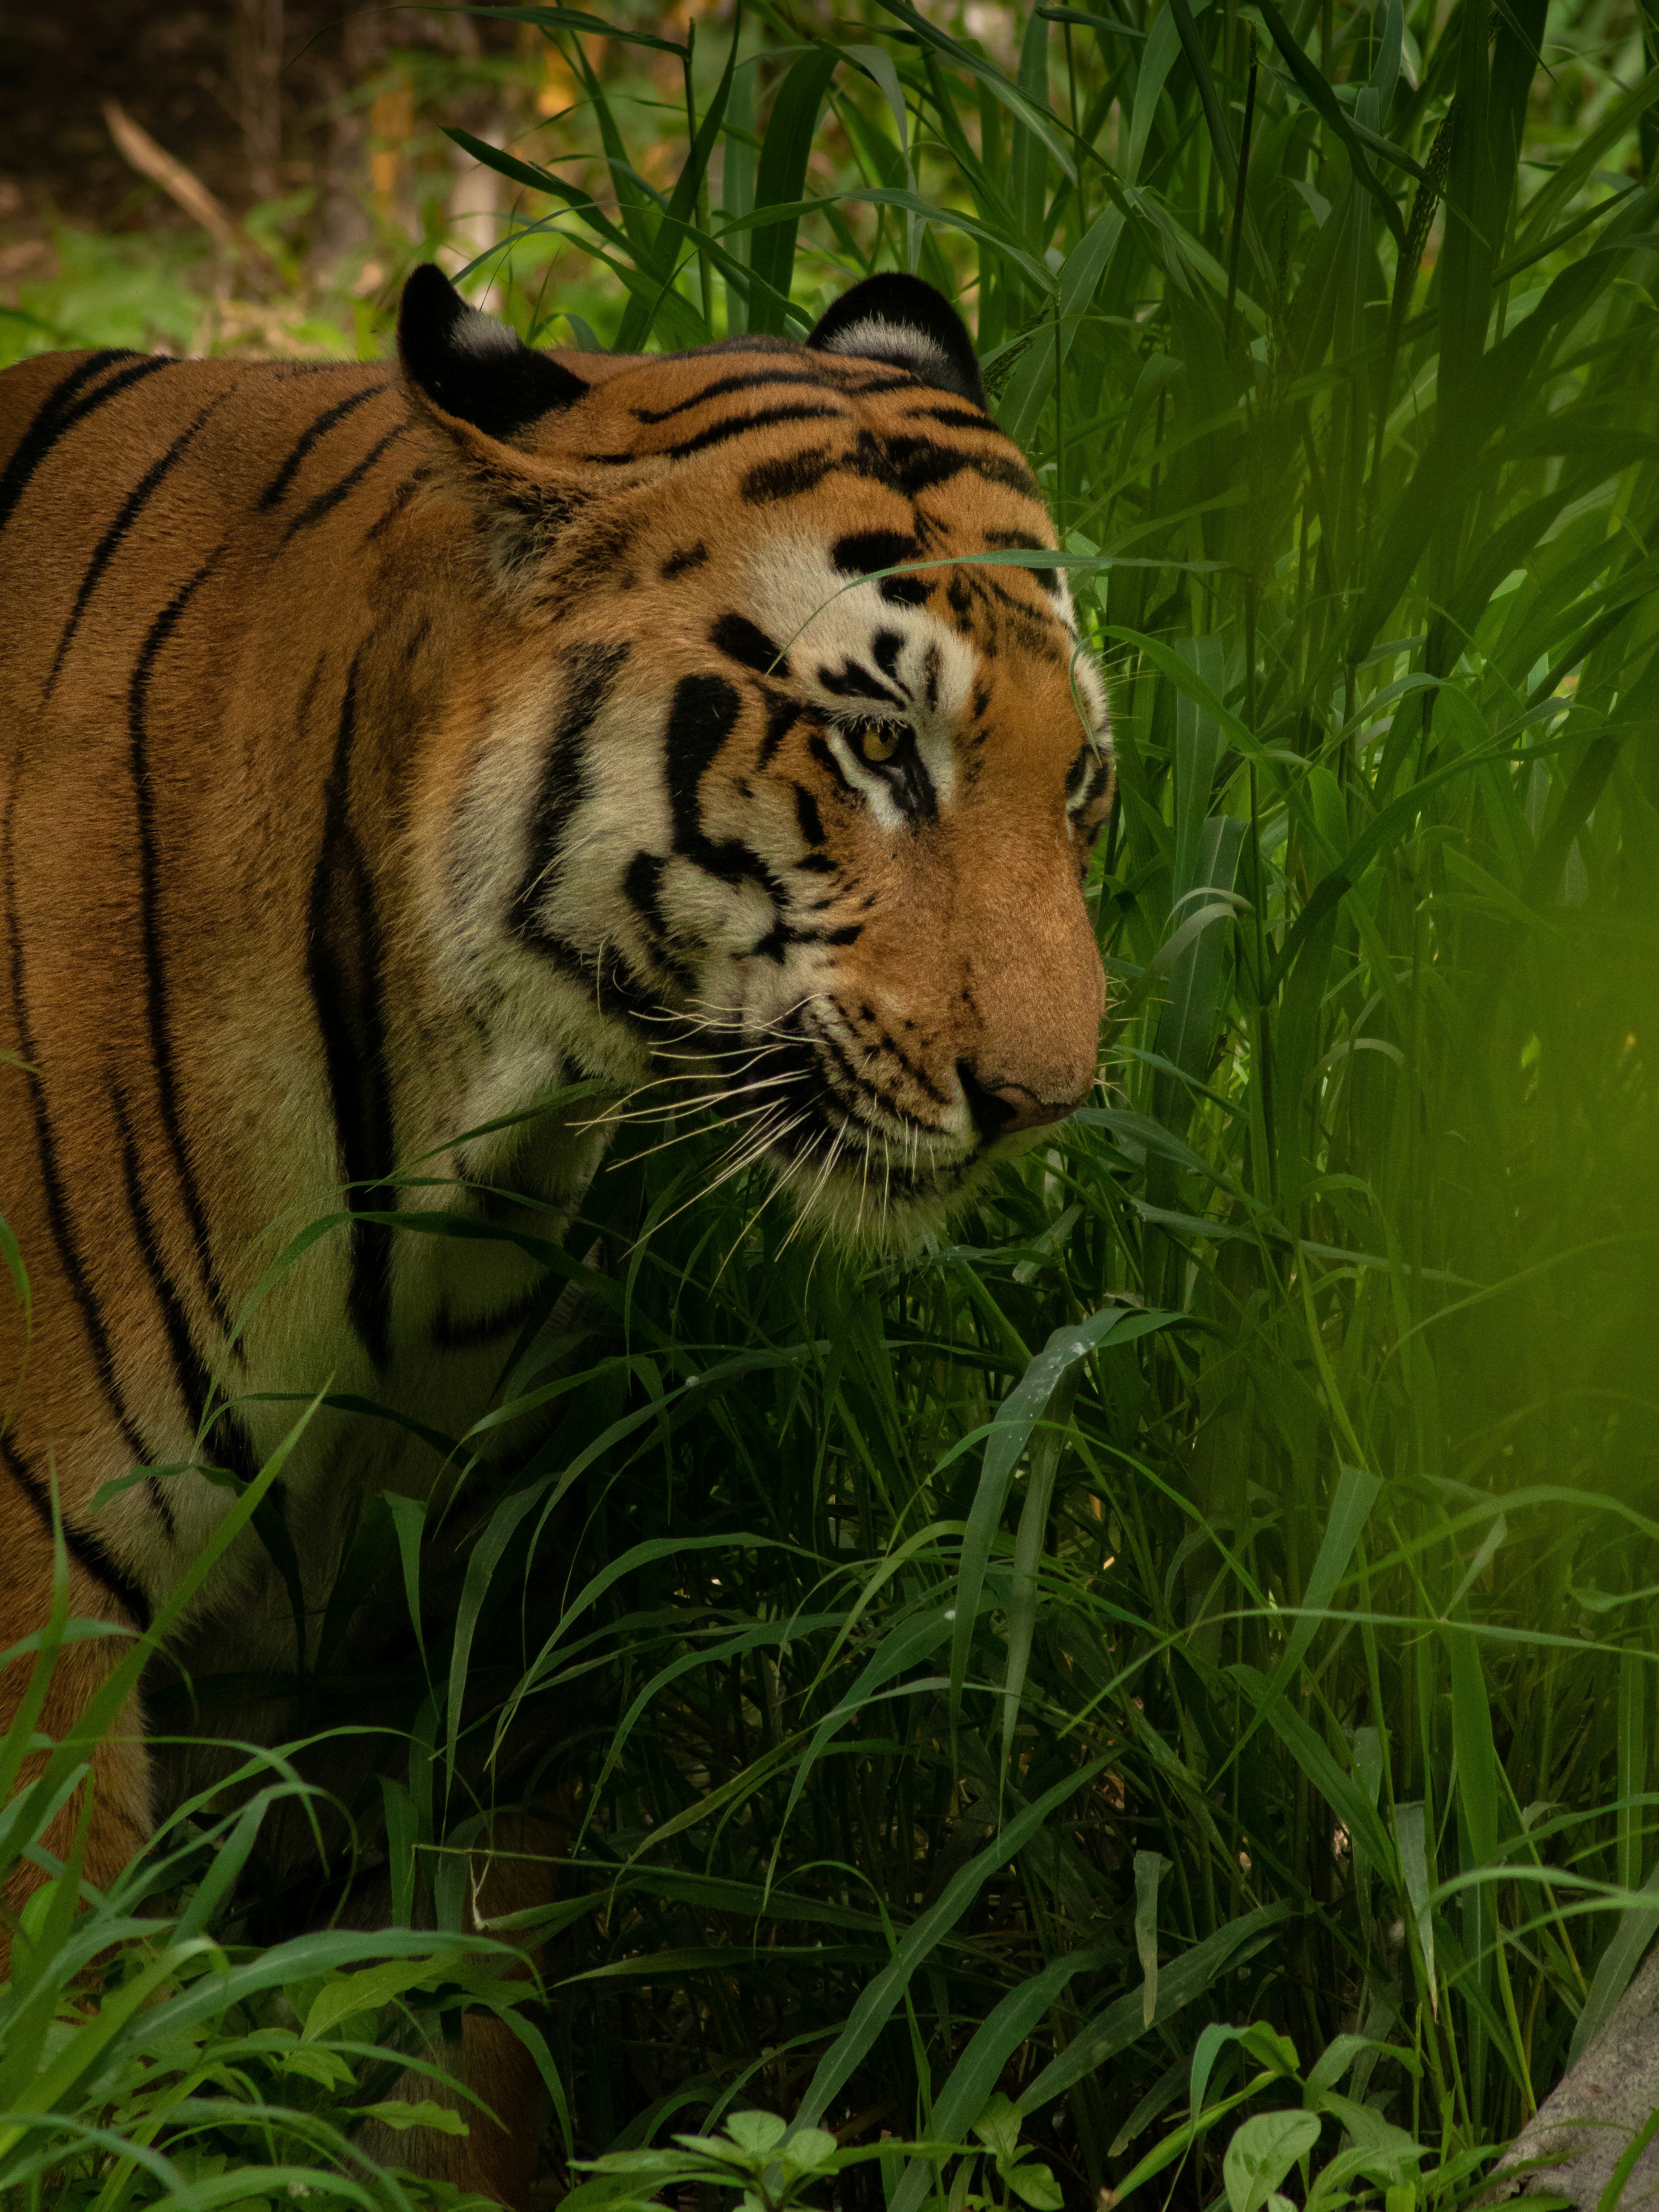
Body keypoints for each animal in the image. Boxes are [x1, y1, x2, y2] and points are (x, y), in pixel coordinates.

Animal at [0, 264, 1111, 2199]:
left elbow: (452, 2049)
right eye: (876, 747)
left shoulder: (452, 1617)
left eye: (1082, 780)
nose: (1045, 1097)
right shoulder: (39, 1612)